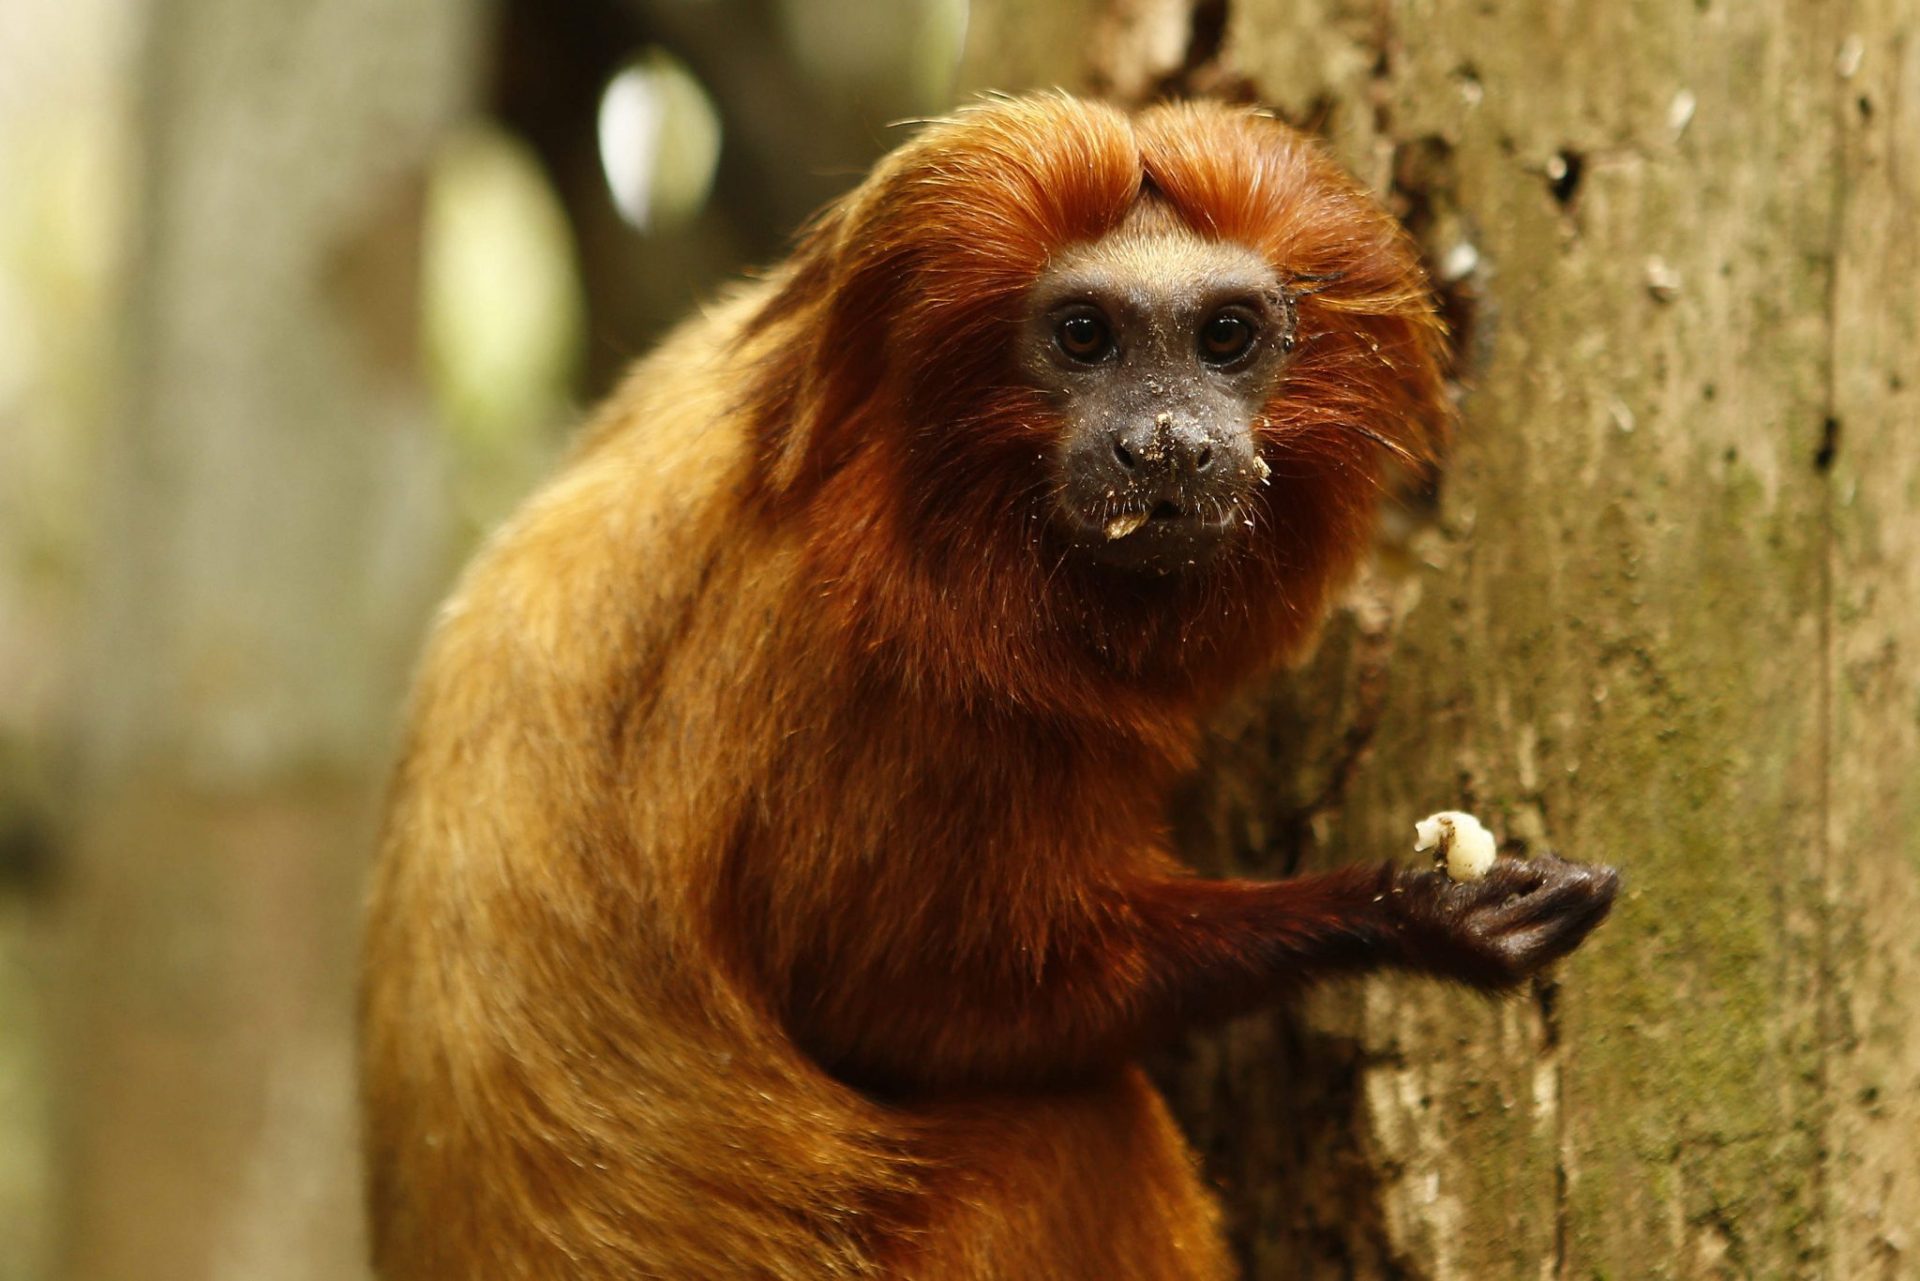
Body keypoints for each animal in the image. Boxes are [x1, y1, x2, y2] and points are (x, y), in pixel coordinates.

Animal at [360, 94, 1618, 1280]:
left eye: (1225, 337)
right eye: (1083, 336)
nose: (1167, 443)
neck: (919, 484)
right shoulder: (854, 663)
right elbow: (894, 1002)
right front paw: (1406, 916)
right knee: (1070, 1129)